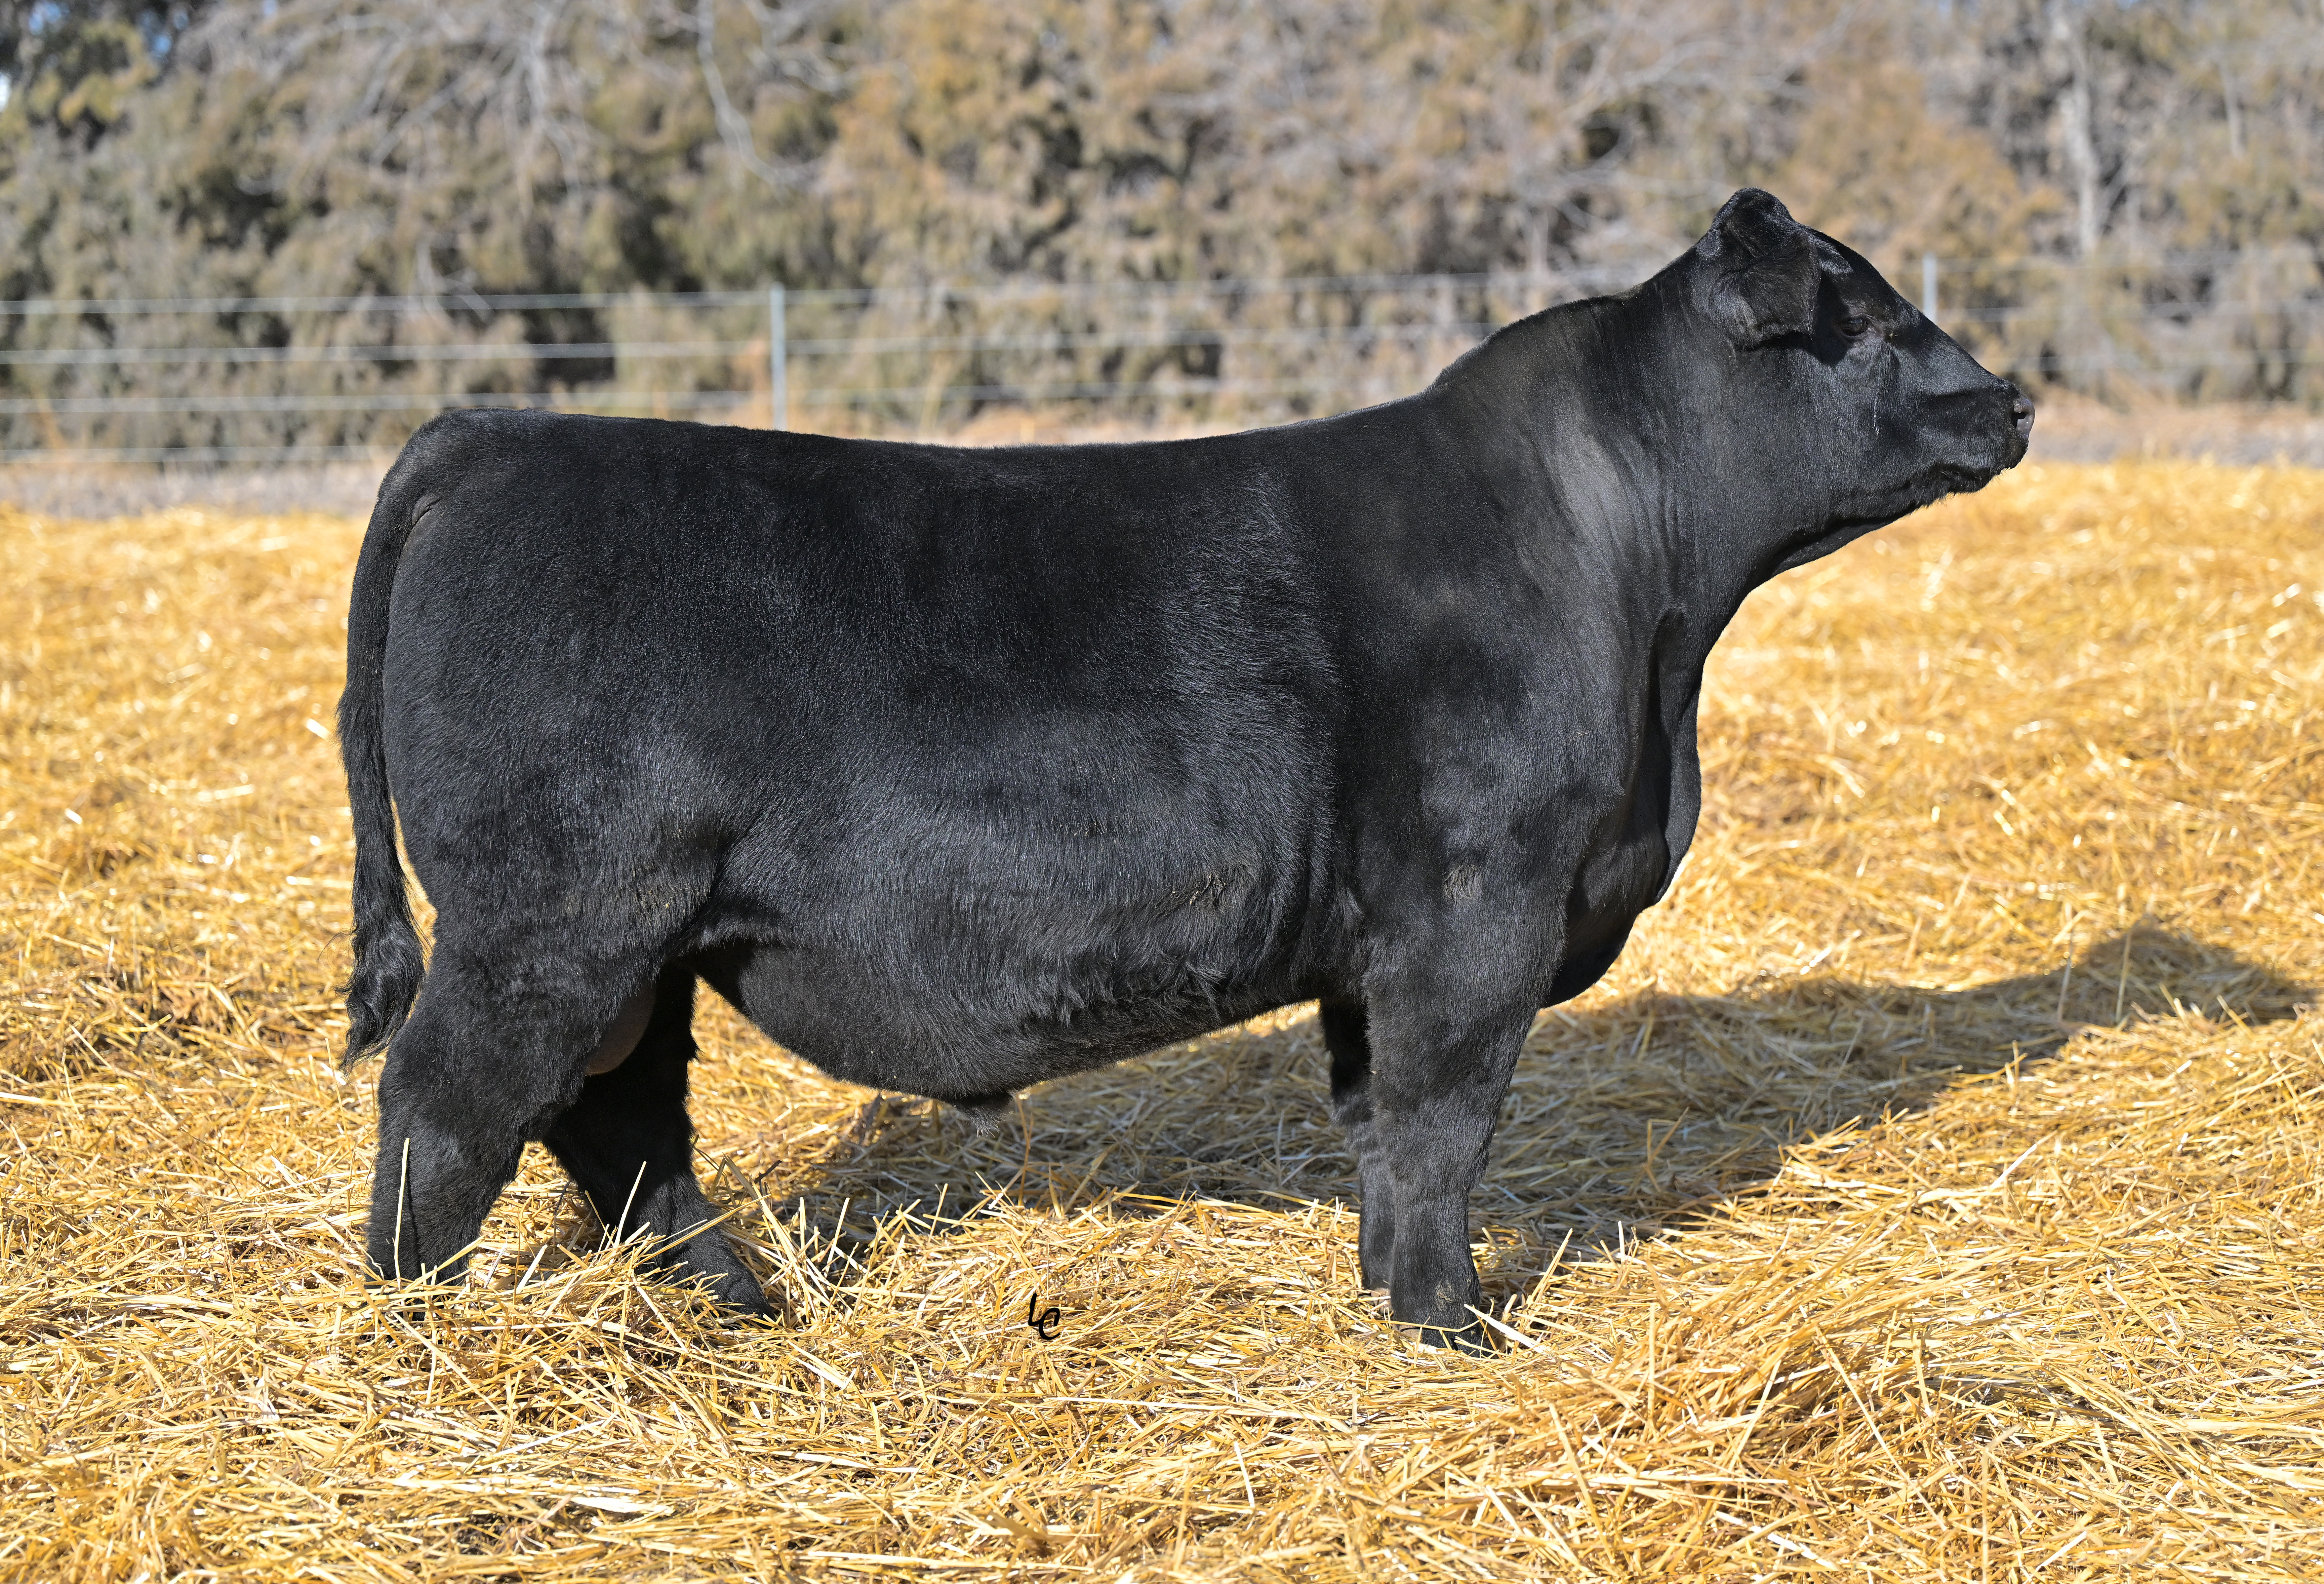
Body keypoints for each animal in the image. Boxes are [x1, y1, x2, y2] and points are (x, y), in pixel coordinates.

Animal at [338, 189, 2030, 1350]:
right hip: (550, 921)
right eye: (1868, 319)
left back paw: (740, 1305)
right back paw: (412, 1325)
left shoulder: (1373, 945)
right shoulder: (1475, 908)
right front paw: (1454, 1324)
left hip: (636, 943)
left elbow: (1380, 1128)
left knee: (618, 1123)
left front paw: (1393, 1298)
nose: (2012, 397)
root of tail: (489, 435)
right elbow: (1443, 1120)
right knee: (451, 1104)